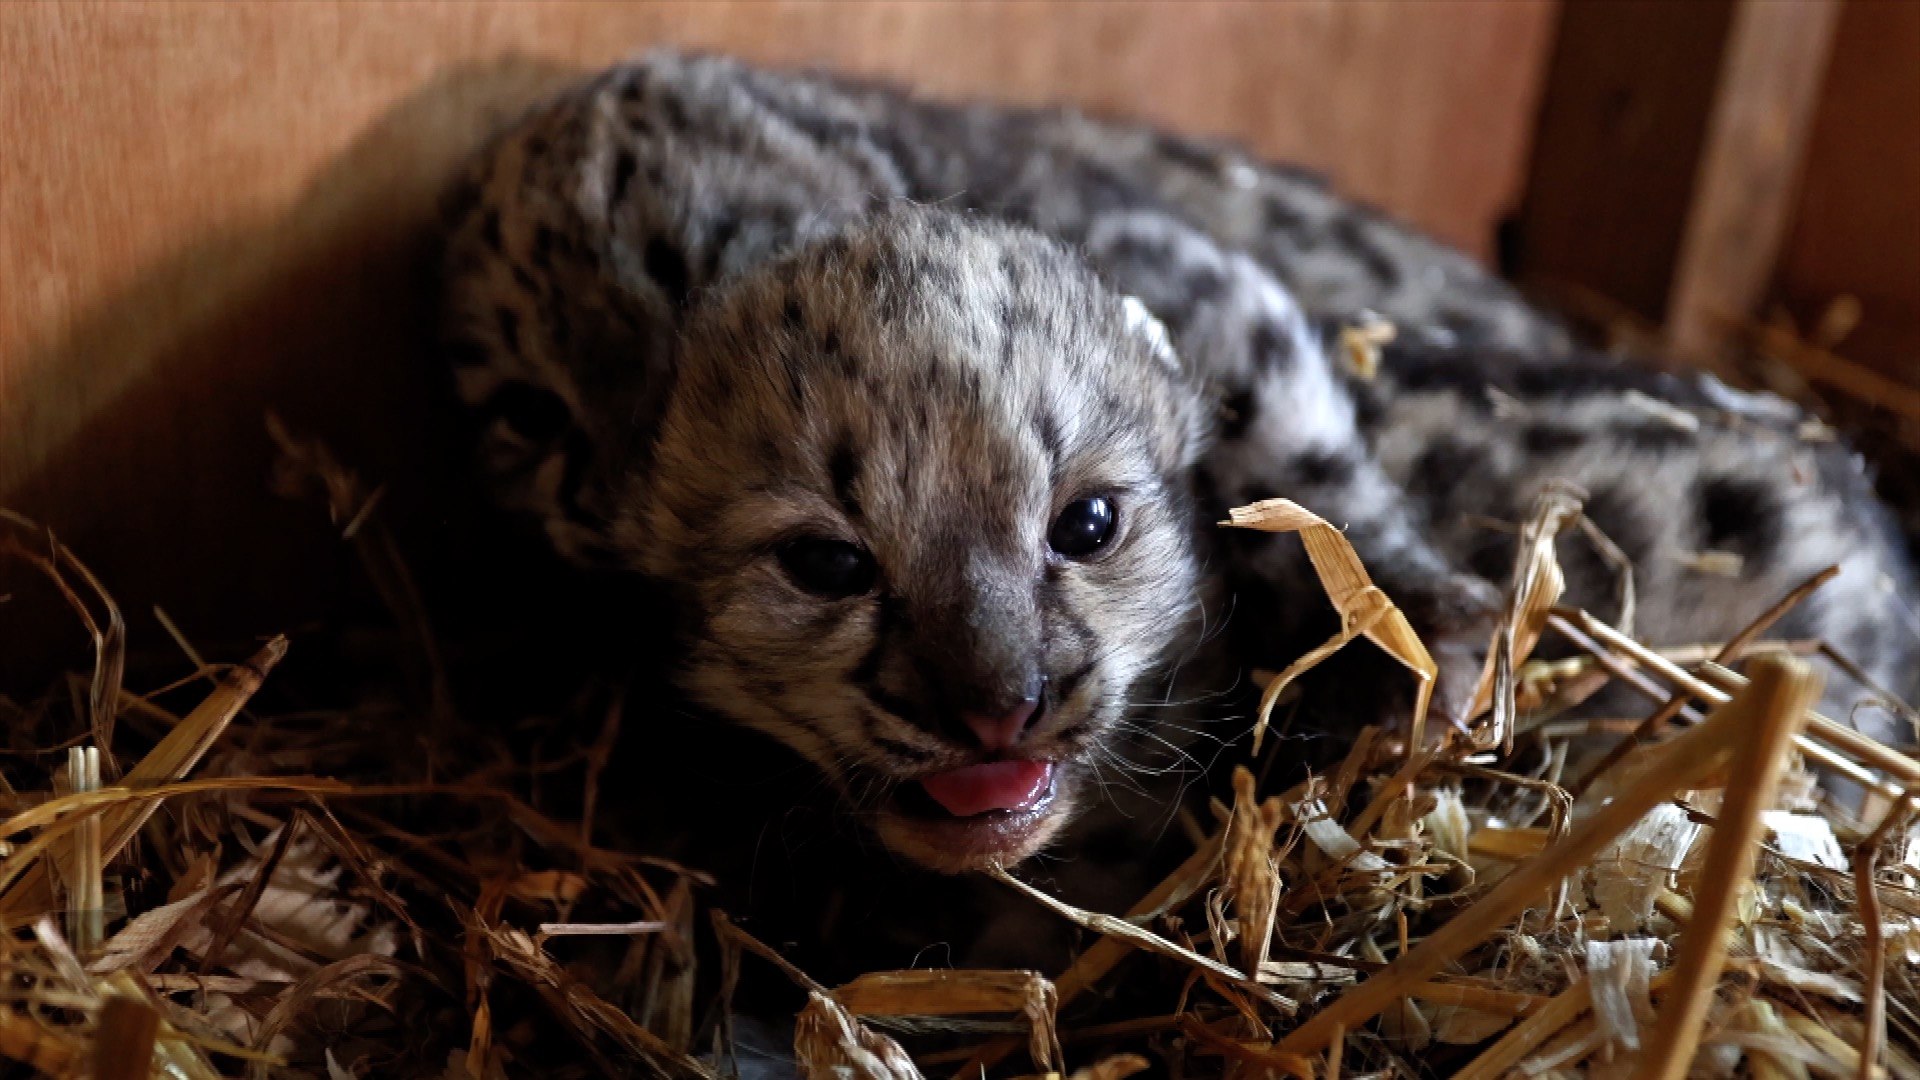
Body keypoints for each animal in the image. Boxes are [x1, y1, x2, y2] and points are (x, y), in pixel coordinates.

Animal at [438, 51, 1919, 967]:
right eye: (530, 415)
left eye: (693, 267)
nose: (997, 707)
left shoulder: (1200, 287)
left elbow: (1295, 444)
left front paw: (1428, 641)